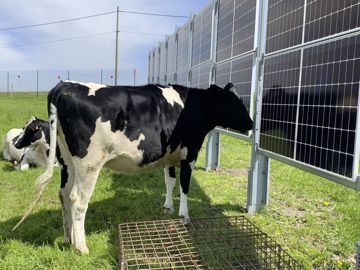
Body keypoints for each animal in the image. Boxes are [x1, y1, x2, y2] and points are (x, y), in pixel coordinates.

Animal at [14, 81, 253, 254]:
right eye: (236, 103)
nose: (251, 124)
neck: (196, 106)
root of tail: (65, 85)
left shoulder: (170, 155)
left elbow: (169, 181)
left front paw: (168, 207)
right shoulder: (189, 153)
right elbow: (184, 186)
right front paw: (184, 216)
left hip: (66, 161)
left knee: (63, 195)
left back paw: (67, 238)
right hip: (89, 163)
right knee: (77, 200)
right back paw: (81, 247)